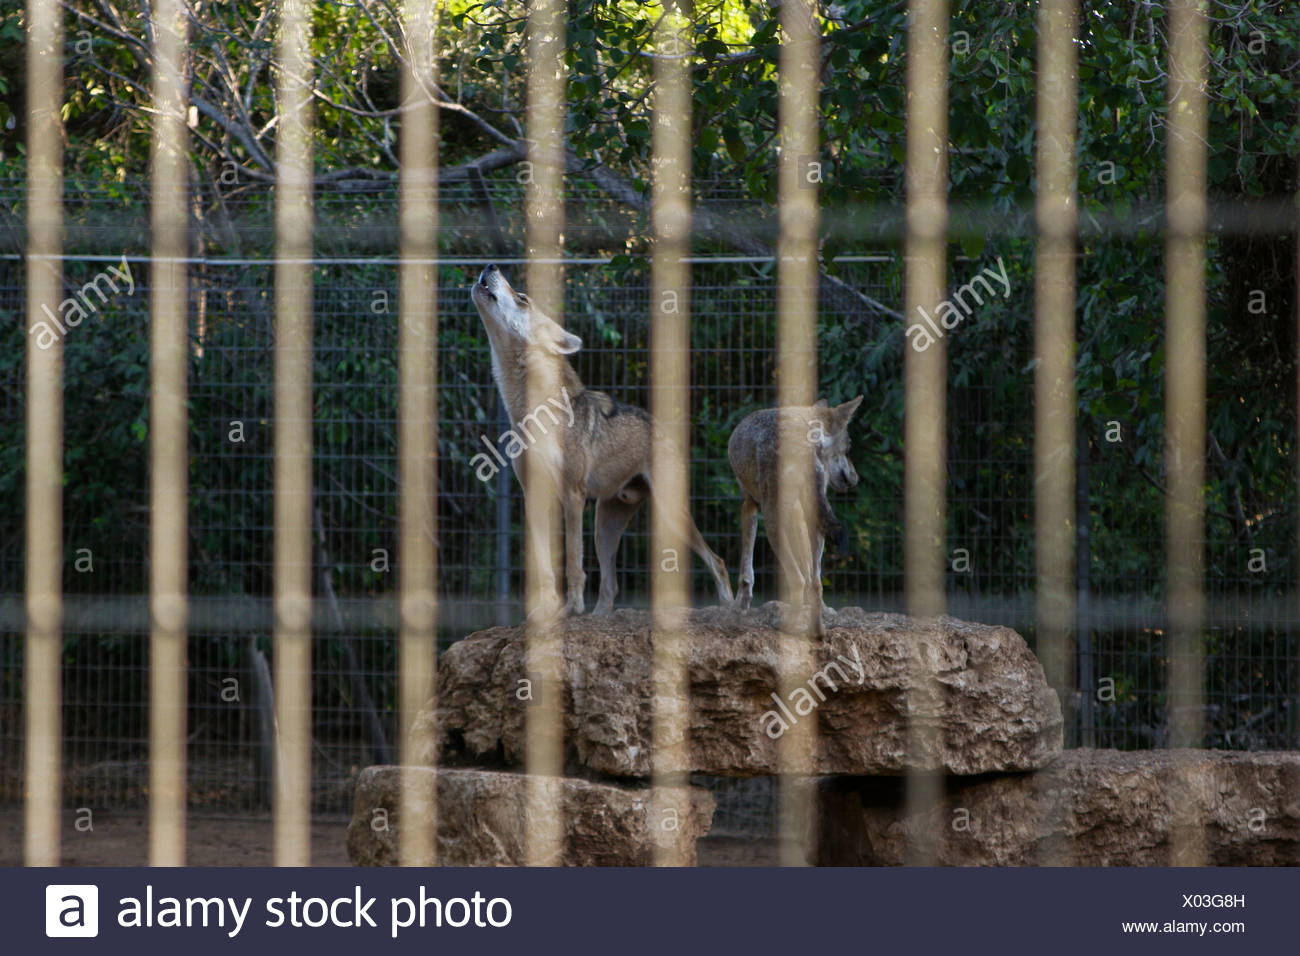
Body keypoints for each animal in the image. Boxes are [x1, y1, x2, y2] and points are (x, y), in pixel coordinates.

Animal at [470, 264, 734, 619]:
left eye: (522, 298)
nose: (490, 266)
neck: (530, 412)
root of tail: (662, 428)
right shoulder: (533, 497)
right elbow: (545, 566)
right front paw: (545, 610)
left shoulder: (573, 495)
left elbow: (572, 562)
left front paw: (571, 608)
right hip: (604, 526)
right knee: (611, 587)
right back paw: (598, 617)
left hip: (669, 514)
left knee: (717, 560)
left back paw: (730, 608)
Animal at [727, 396, 863, 635]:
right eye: (847, 448)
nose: (856, 478)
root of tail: (807, 443)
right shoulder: (798, 514)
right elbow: (812, 574)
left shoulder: (749, 504)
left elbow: (746, 570)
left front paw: (739, 606)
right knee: (815, 583)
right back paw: (817, 631)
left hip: (772, 522)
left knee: (799, 580)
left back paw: (787, 625)